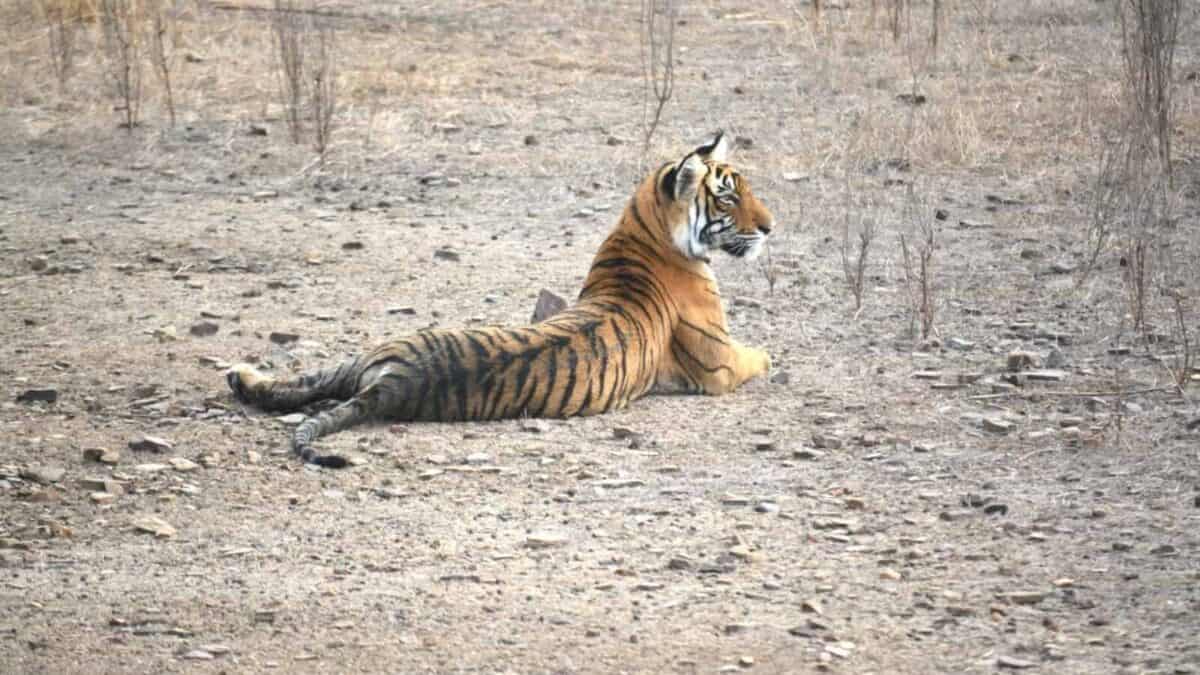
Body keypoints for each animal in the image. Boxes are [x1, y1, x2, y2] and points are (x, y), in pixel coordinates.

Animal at [226, 132, 776, 467]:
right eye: (729, 196)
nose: (772, 227)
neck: (643, 228)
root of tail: (392, 381)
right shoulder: (719, 362)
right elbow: (762, 356)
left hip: (365, 357)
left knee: (302, 384)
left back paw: (240, 377)